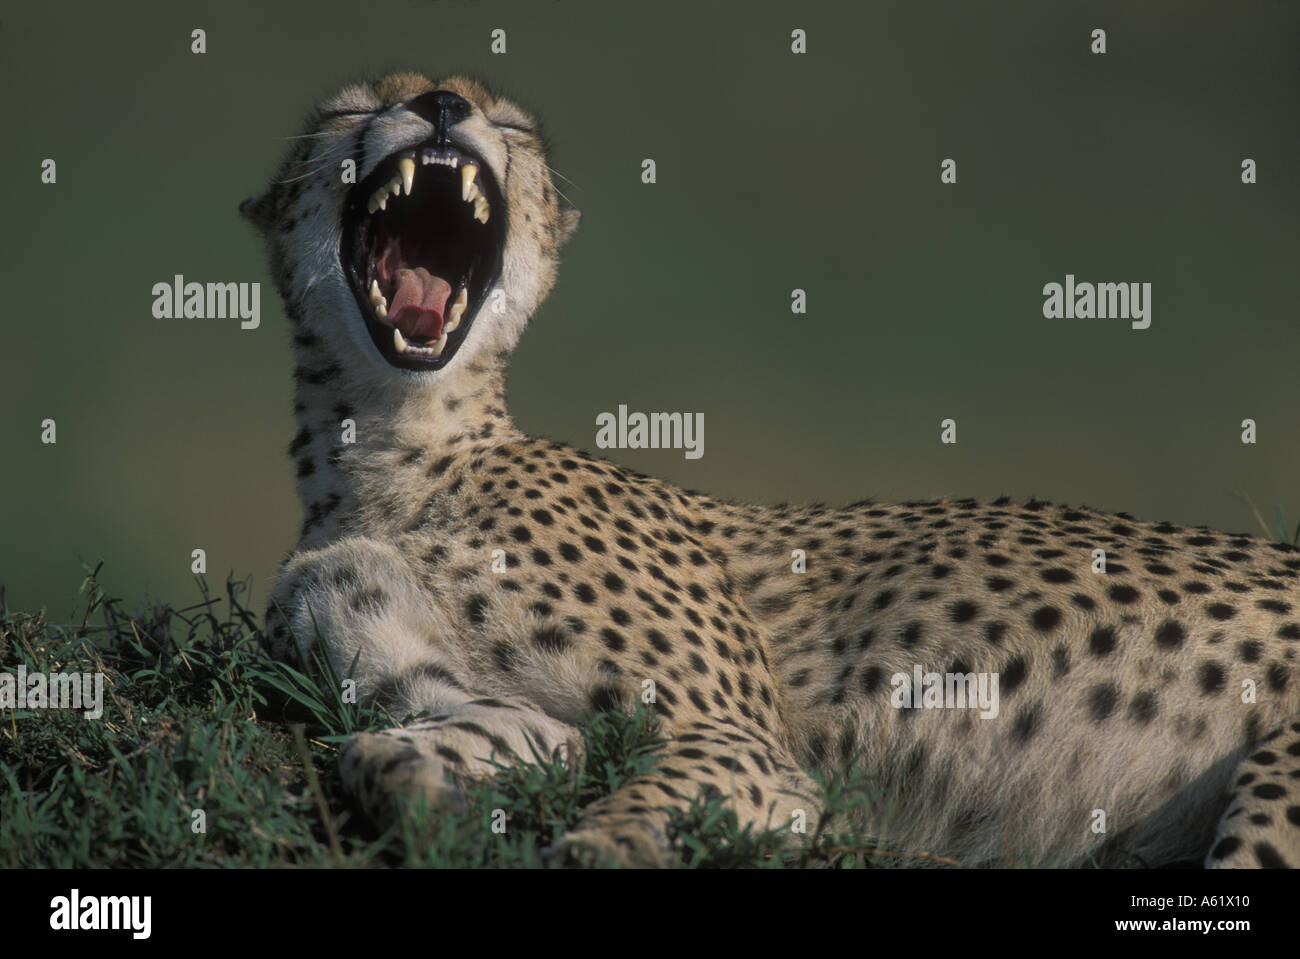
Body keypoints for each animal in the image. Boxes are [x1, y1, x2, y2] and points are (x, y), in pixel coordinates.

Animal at [241, 71, 1300, 868]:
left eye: (508, 123)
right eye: (350, 108)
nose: (444, 105)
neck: (395, 452)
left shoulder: (747, 743)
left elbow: (644, 806)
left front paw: (596, 843)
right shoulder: (476, 698)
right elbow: (384, 745)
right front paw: (429, 801)